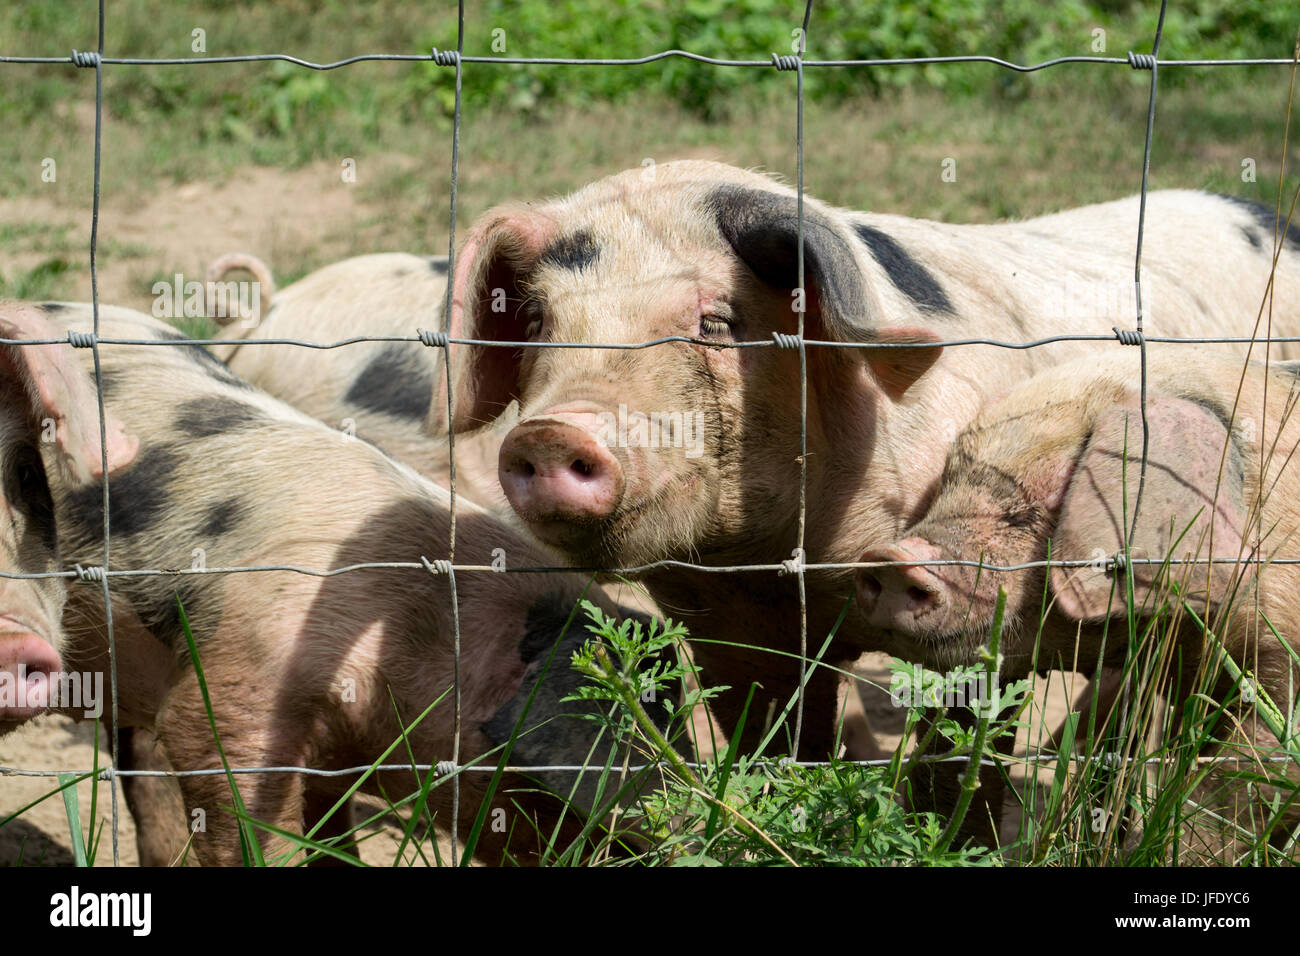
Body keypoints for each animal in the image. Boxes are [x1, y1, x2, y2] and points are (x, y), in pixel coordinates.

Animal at [441, 158, 1300, 767]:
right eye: (540, 321)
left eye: (716, 321)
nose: (552, 433)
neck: (777, 561)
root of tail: (1272, 218)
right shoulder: (728, 632)